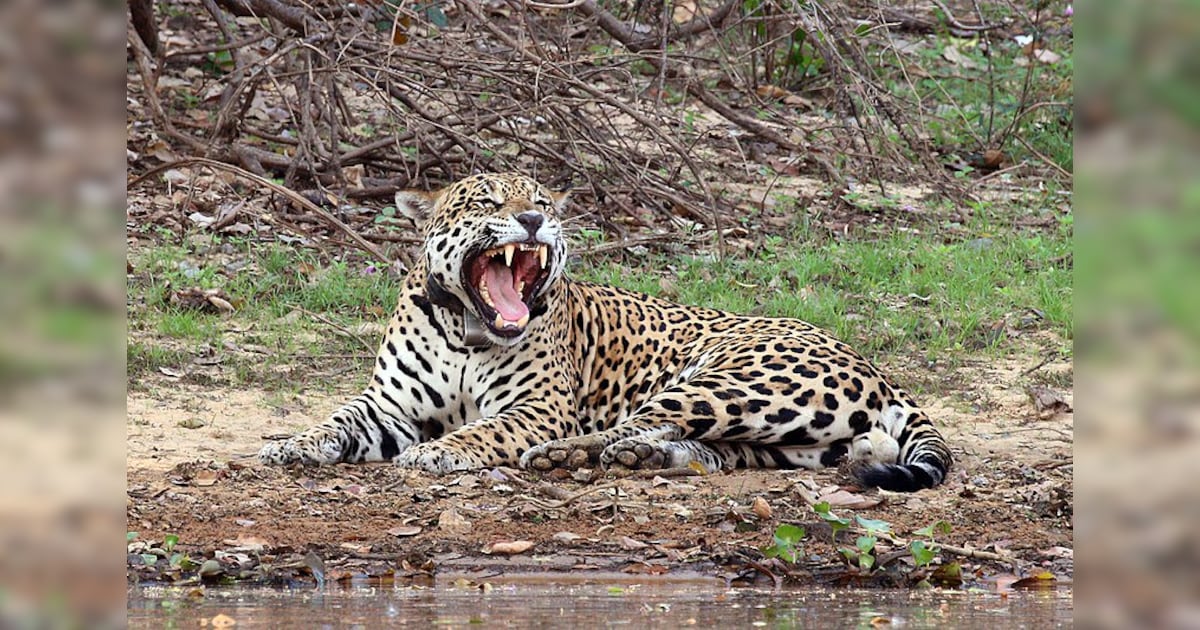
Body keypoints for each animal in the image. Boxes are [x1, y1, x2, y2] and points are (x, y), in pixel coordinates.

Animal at [258, 172, 953, 491]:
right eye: (486, 203)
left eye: (540, 201)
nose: (534, 220)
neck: (465, 328)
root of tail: (875, 366)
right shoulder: (389, 407)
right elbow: (337, 418)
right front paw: (290, 444)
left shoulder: (538, 409)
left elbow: (487, 430)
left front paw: (441, 451)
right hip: (786, 439)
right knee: (703, 449)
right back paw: (644, 459)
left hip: (731, 382)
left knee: (636, 425)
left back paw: (567, 456)